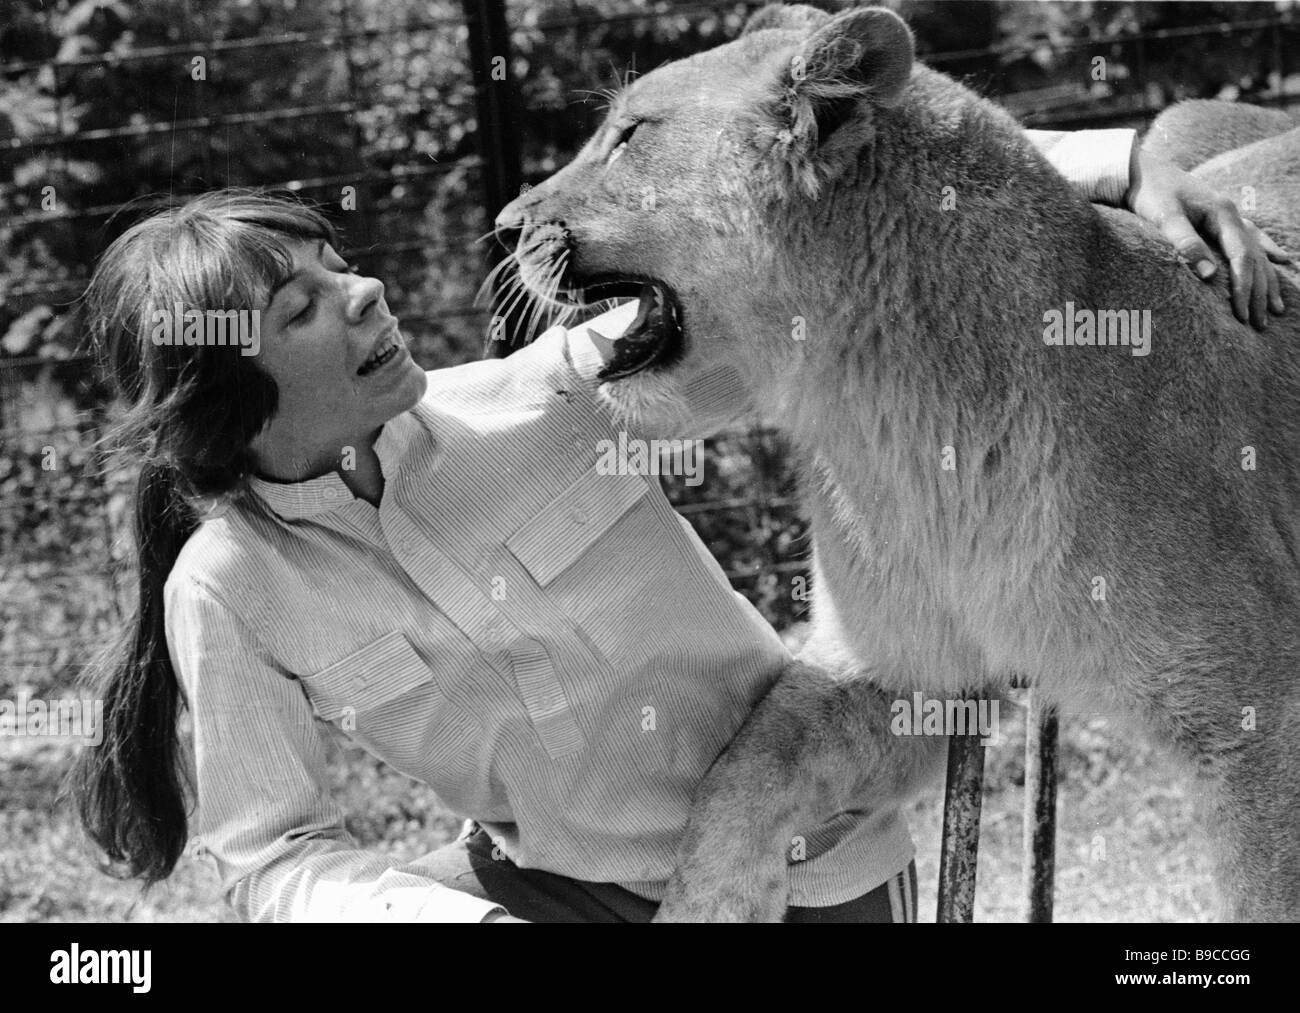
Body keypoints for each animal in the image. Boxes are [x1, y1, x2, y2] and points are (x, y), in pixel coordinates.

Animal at [496, 3, 1300, 921]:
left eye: (630, 134)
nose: (506, 227)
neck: (886, 420)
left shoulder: (1257, 712)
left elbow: (1266, 890)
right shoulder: (905, 674)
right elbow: (743, 770)